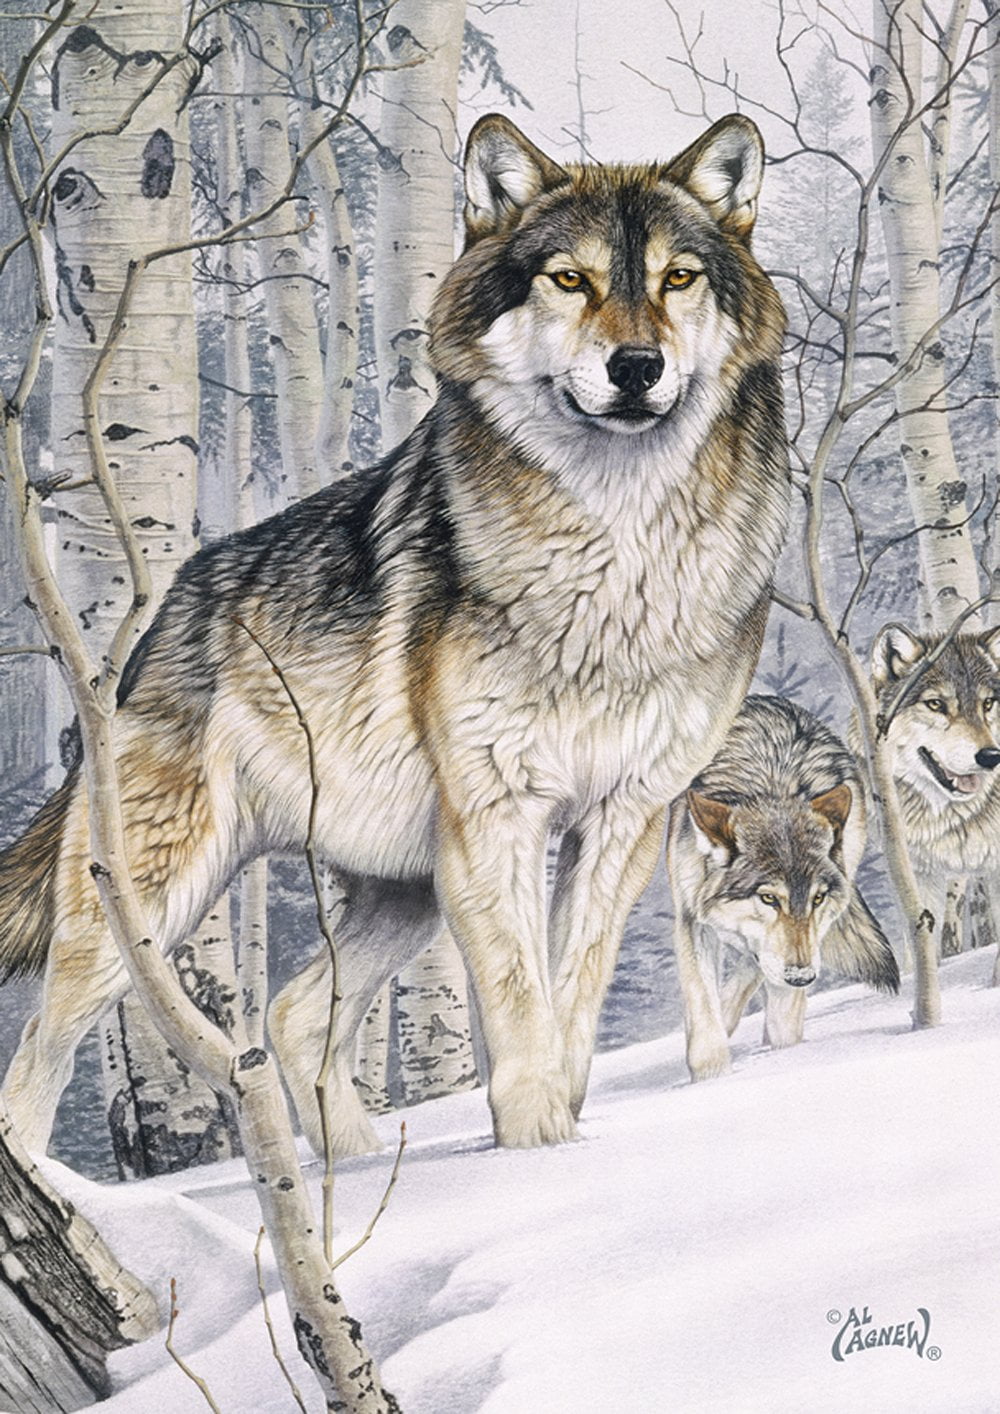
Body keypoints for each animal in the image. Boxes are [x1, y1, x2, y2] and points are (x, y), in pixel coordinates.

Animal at [0, 111, 789, 1158]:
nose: (635, 367)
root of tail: (155, 627)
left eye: (678, 278)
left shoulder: (623, 816)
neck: (616, 554)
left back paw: (361, 1169)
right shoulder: (496, 817)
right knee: (33, 1064)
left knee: (292, 1015)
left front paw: (565, 1139)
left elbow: (572, 998)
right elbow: (521, 1003)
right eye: (569, 279)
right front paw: (535, 1149)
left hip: (401, 891)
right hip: (146, 908)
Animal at [667, 696, 899, 1081]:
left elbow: (783, 1027)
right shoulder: (691, 918)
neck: (774, 785)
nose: (802, 977)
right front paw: (711, 1080)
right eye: (768, 898)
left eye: (817, 898)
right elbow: (704, 1020)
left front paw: (783, 1059)